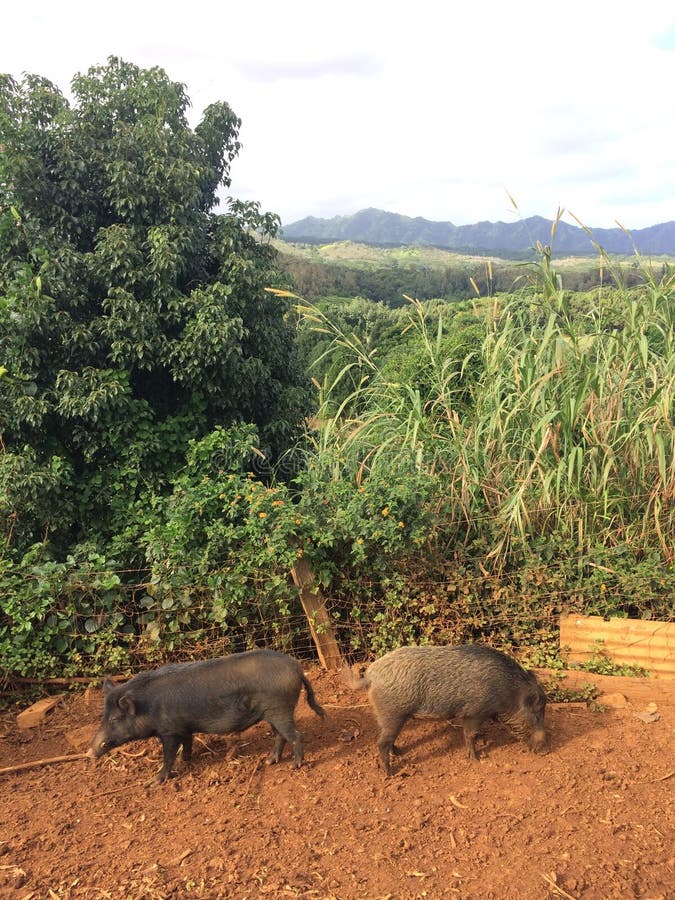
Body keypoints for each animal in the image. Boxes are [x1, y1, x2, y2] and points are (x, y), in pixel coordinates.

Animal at [87, 649, 326, 782]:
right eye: (103, 716)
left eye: (115, 719)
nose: (89, 752)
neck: (148, 707)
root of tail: (297, 668)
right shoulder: (183, 728)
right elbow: (188, 743)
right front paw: (186, 759)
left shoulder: (169, 731)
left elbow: (169, 755)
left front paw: (154, 781)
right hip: (272, 711)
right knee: (279, 735)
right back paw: (269, 761)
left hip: (280, 708)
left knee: (295, 735)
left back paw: (295, 765)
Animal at [343, 643, 549, 775]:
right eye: (537, 714)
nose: (546, 751)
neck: (507, 691)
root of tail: (370, 676)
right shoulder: (475, 712)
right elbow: (470, 735)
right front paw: (476, 760)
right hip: (392, 714)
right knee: (381, 743)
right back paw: (389, 773)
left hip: (391, 717)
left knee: (388, 740)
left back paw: (399, 753)